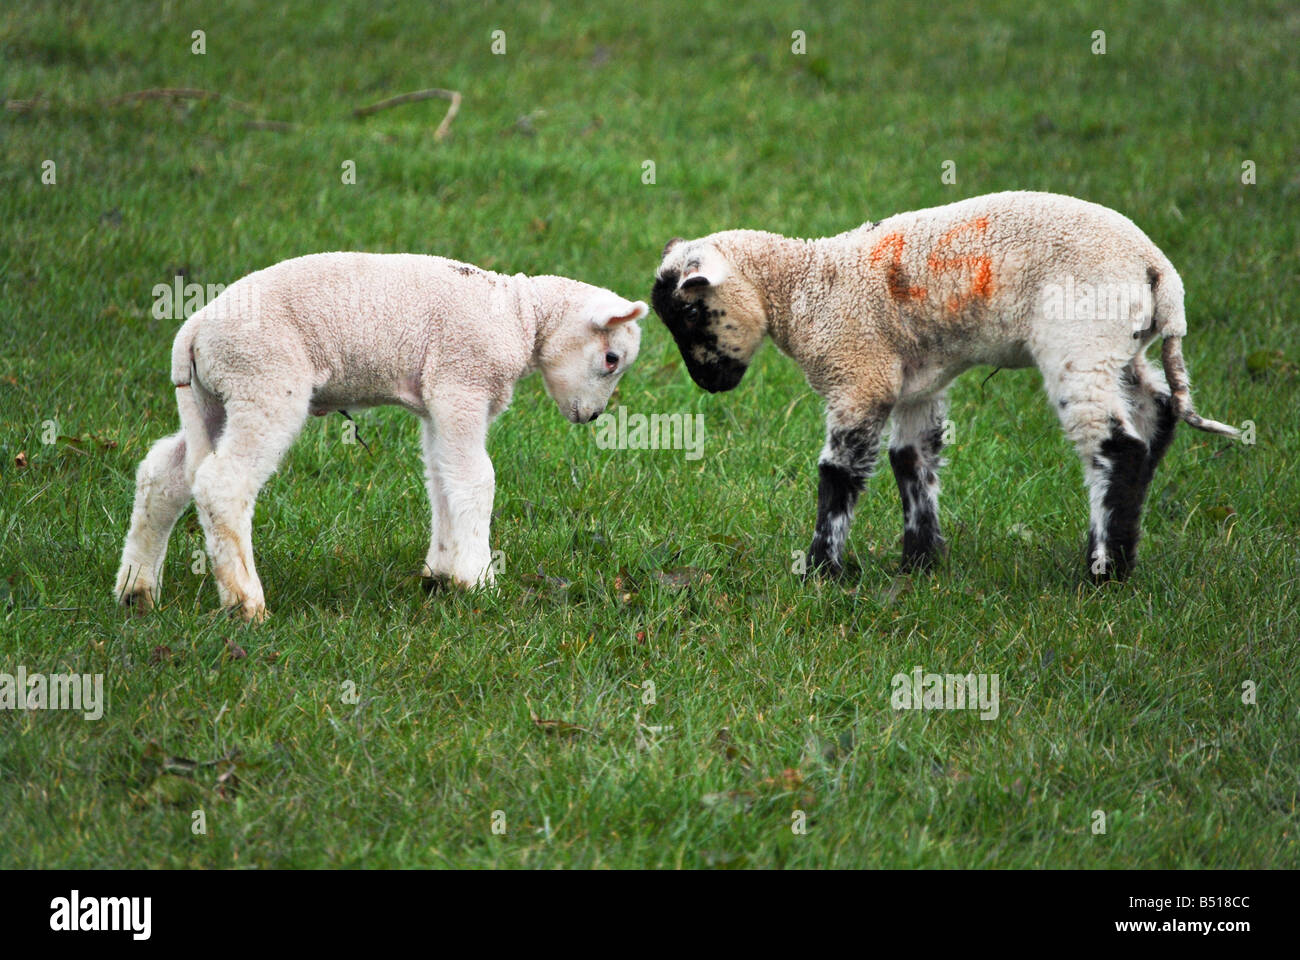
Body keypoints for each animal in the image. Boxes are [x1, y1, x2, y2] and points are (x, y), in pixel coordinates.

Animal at [115, 252, 645, 621]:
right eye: (611, 359)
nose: (592, 416)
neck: (521, 315)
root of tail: (191, 332)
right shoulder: (462, 382)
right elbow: (476, 480)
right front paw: (479, 581)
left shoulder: (437, 399)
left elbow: (442, 479)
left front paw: (441, 573)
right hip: (262, 380)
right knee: (223, 484)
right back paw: (246, 603)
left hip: (214, 396)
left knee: (164, 474)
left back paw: (136, 590)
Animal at [651, 191, 1238, 583]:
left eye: (690, 313)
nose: (708, 384)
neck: (805, 287)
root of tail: (1159, 272)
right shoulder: (915, 385)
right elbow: (912, 463)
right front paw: (919, 563)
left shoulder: (858, 375)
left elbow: (838, 476)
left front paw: (822, 571)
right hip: (1121, 347)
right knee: (1156, 416)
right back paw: (1119, 553)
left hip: (1082, 340)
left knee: (1117, 447)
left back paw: (1102, 574)